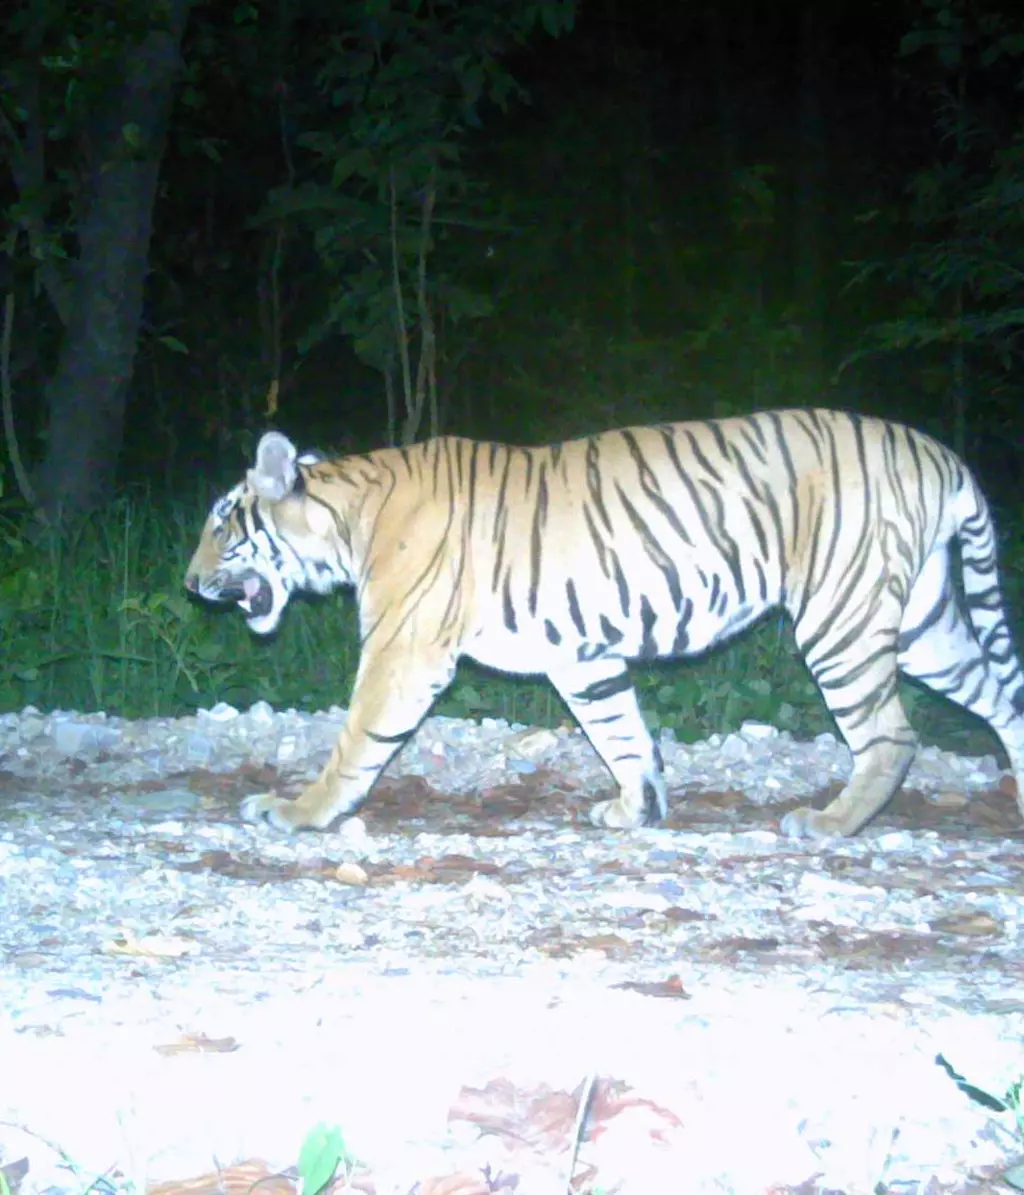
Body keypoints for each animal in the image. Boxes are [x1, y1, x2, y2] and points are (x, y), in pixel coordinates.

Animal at [184, 408, 1024, 839]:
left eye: (223, 525)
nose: (189, 582)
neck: (349, 513)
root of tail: (938, 452)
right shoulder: (582, 656)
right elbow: (621, 732)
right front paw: (635, 808)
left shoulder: (403, 647)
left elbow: (358, 738)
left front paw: (298, 811)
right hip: (923, 625)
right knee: (1000, 693)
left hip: (840, 616)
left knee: (891, 734)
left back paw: (828, 821)